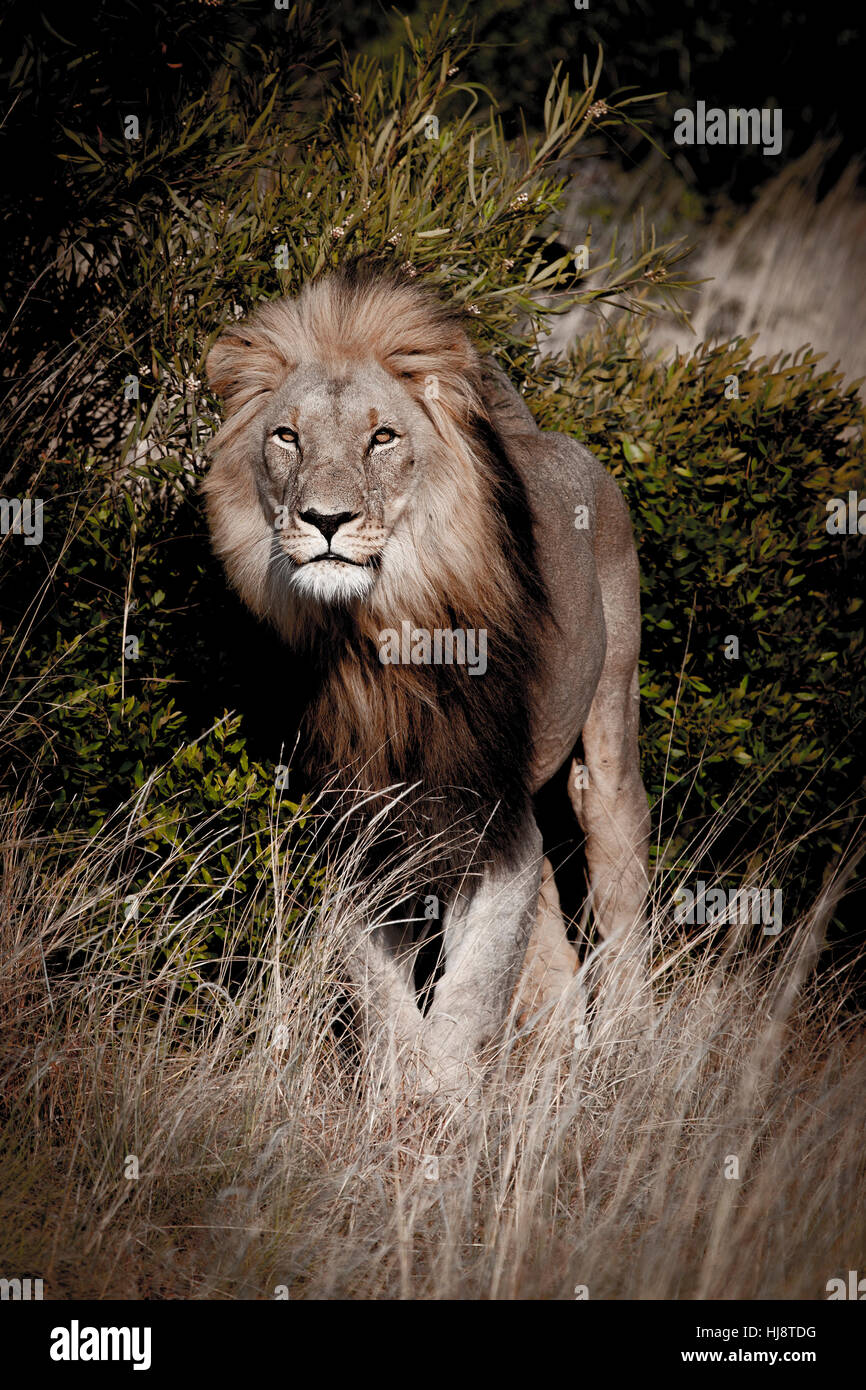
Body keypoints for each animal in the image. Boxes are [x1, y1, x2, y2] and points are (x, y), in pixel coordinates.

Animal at [203, 263, 650, 1094]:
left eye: (383, 437)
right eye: (287, 435)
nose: (326, 521)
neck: (380, 639)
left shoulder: (490, 814)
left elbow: (473, 991)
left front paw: (444, 1099)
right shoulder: (359, 834)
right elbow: (384, 1003)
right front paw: (405, 1091)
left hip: (611, 722)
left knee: (617, 869)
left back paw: (627, 1045)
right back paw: (560, 1050)